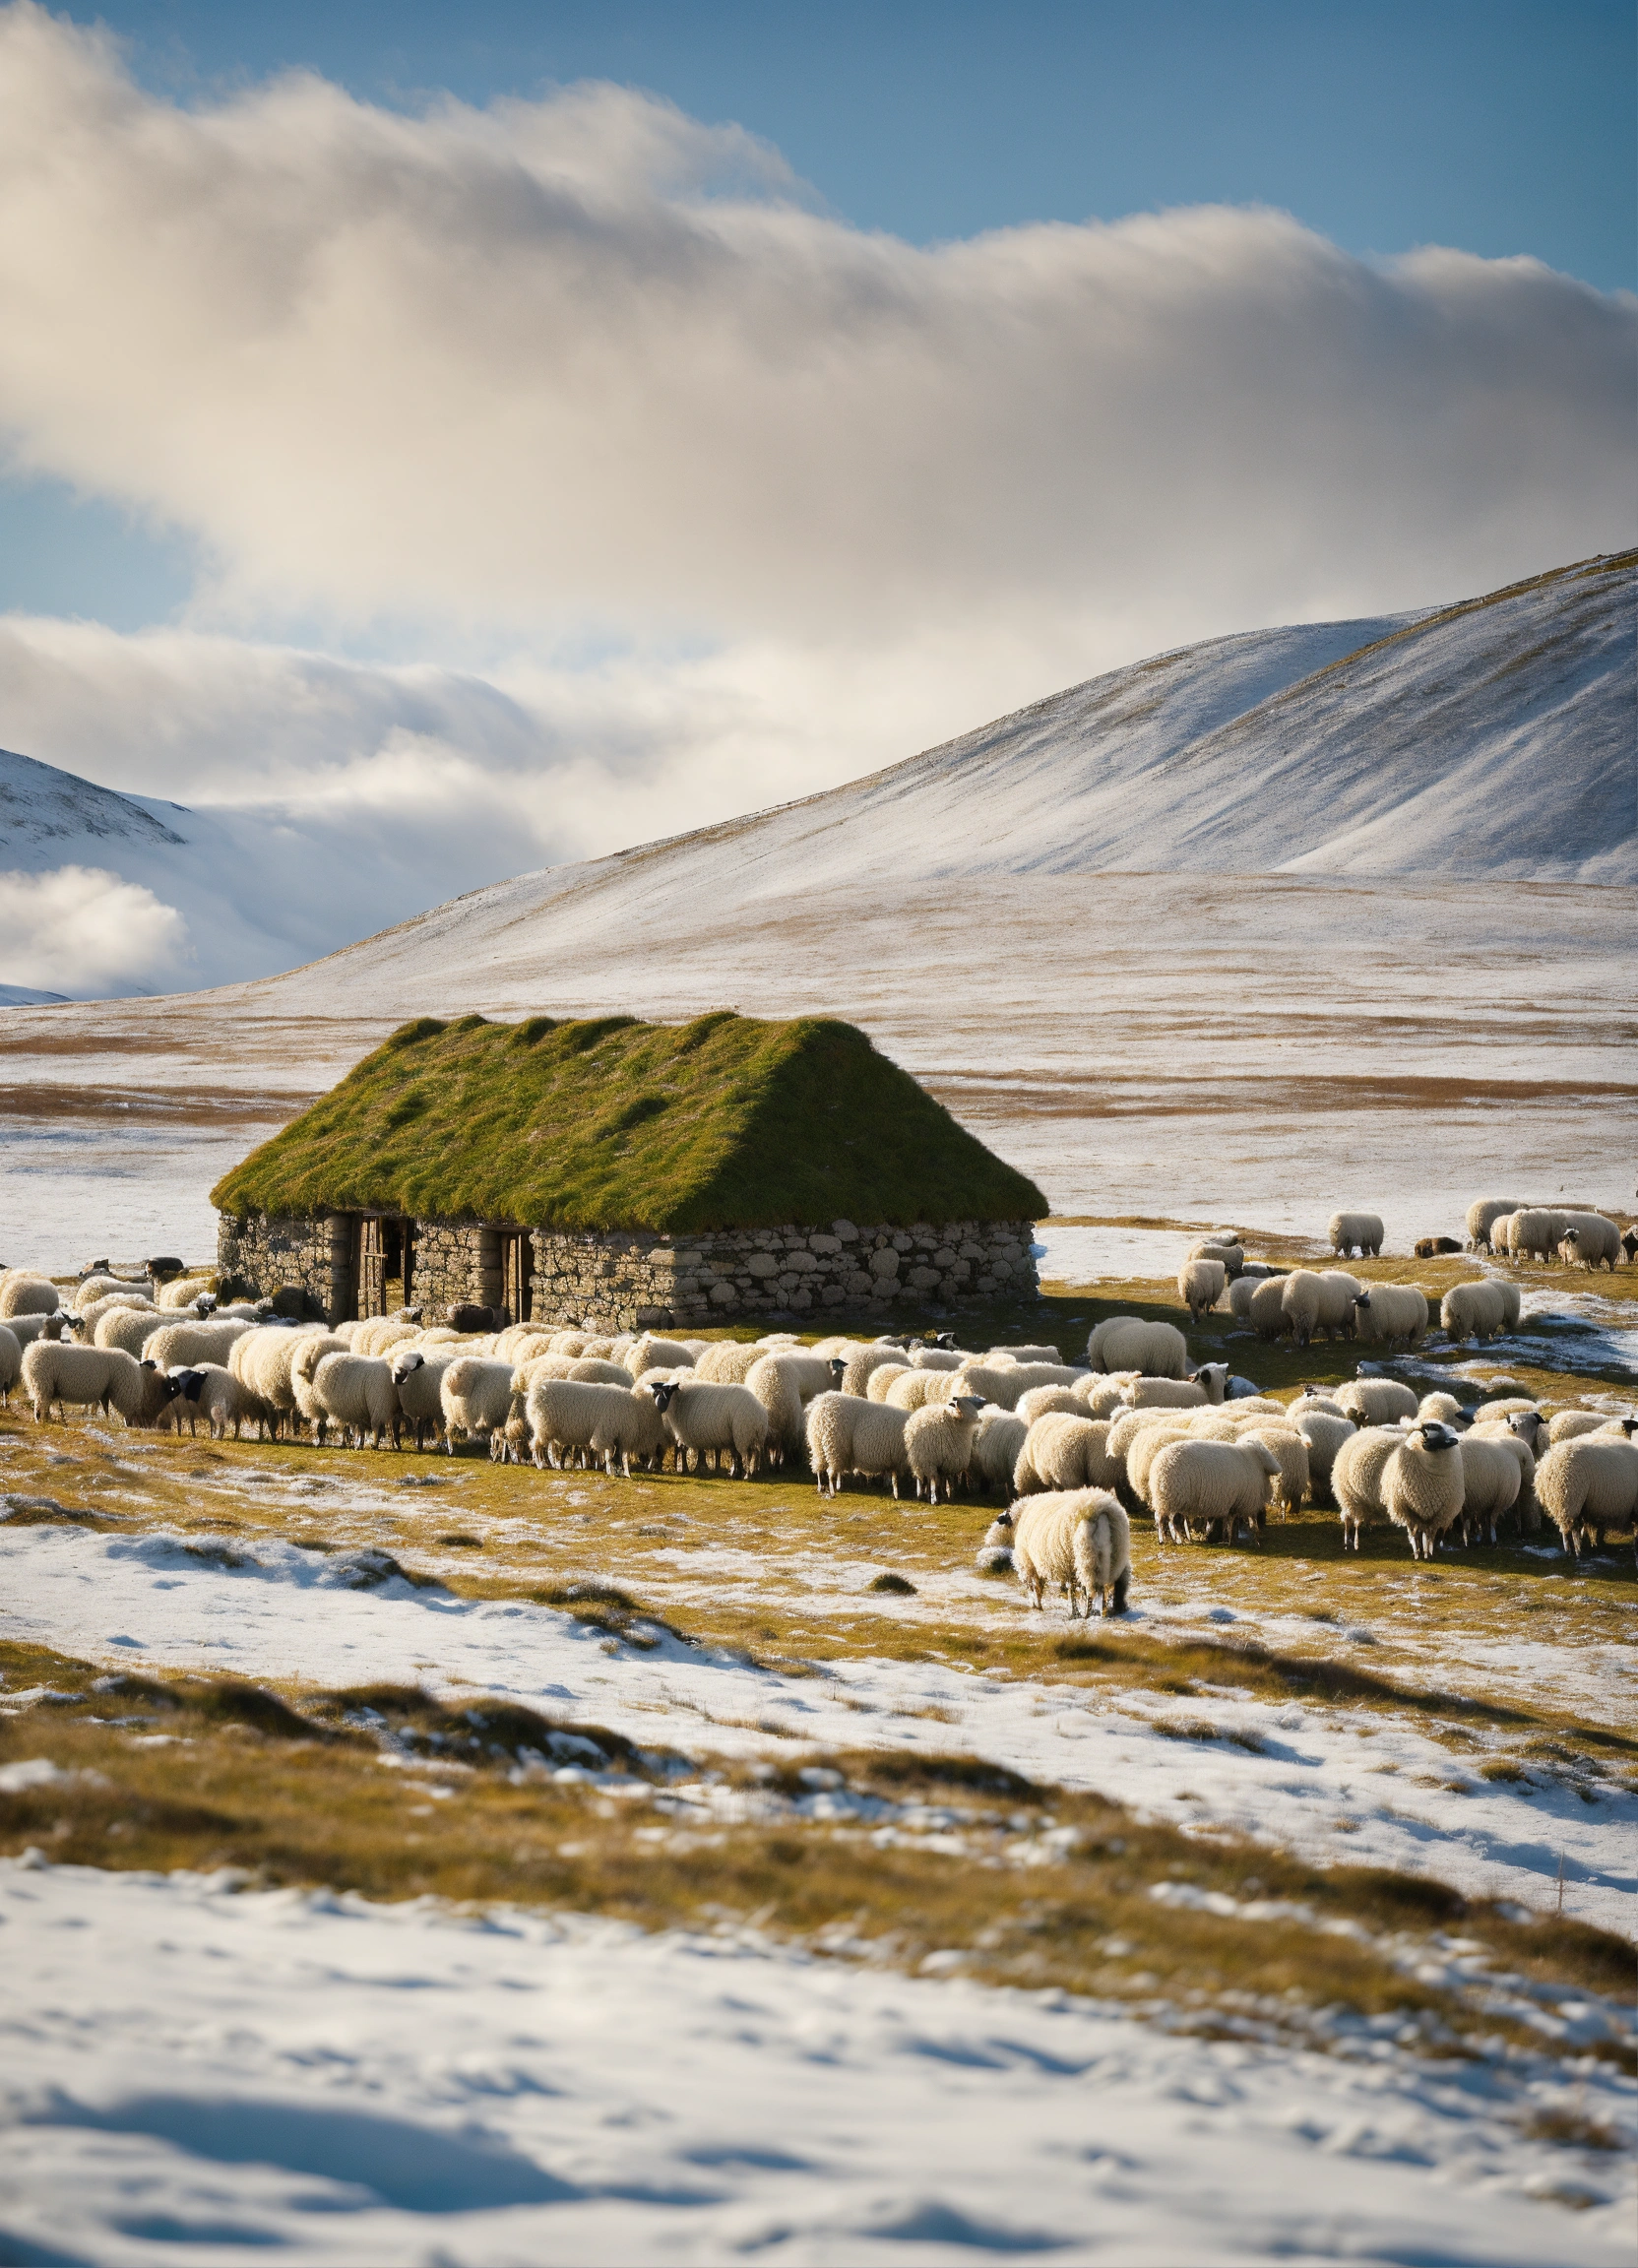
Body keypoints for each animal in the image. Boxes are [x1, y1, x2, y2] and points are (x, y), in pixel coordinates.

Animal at [19, 1340, 146, 1424]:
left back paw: (47, 1419)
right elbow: (106, 1410)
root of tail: (30, 1352)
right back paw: (42, 1421)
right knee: (40, 1406)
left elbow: (105, 1409)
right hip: (43, 1384)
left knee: (44, 1405)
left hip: (47, 1386)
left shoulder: (105, 1392)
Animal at [1012, 1489, 1131, 1616]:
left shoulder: (1032, 1562)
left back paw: (1088, 1613)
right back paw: (1117, 1607)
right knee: (1120, 1583)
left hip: (1085, 1559)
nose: (1032, 1605)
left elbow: (1039, 1588)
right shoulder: (1067, 1566)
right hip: (1118, 1554)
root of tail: (1099, 1509)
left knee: (1090, 1589)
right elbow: (1070, 1589)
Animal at [1149, 1437, 1279, 1546]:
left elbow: (1228, 1521)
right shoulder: (1242, 1501)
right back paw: (1176, 1539)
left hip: (1165, 1499)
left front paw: (1227, 1538)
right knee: (1171, 1521)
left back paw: (1167, 1538)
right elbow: (1239, 1522)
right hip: (1176, 1497)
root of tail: (1159, 1464)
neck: (1254, 1459)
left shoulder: (1233, 1503)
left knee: (1161, 1519)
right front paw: (1238, 1540)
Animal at [1382, 1421, 1466, 1559]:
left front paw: (1427, 1552)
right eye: (1426, 1431)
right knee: (1417, 1530)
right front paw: (1417, 1552)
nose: (1427, 1443)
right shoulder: (1408, 1510)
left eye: (1442, 1440)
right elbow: (1415, 1534)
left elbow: (1430, 1535)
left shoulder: (1440, 1513)